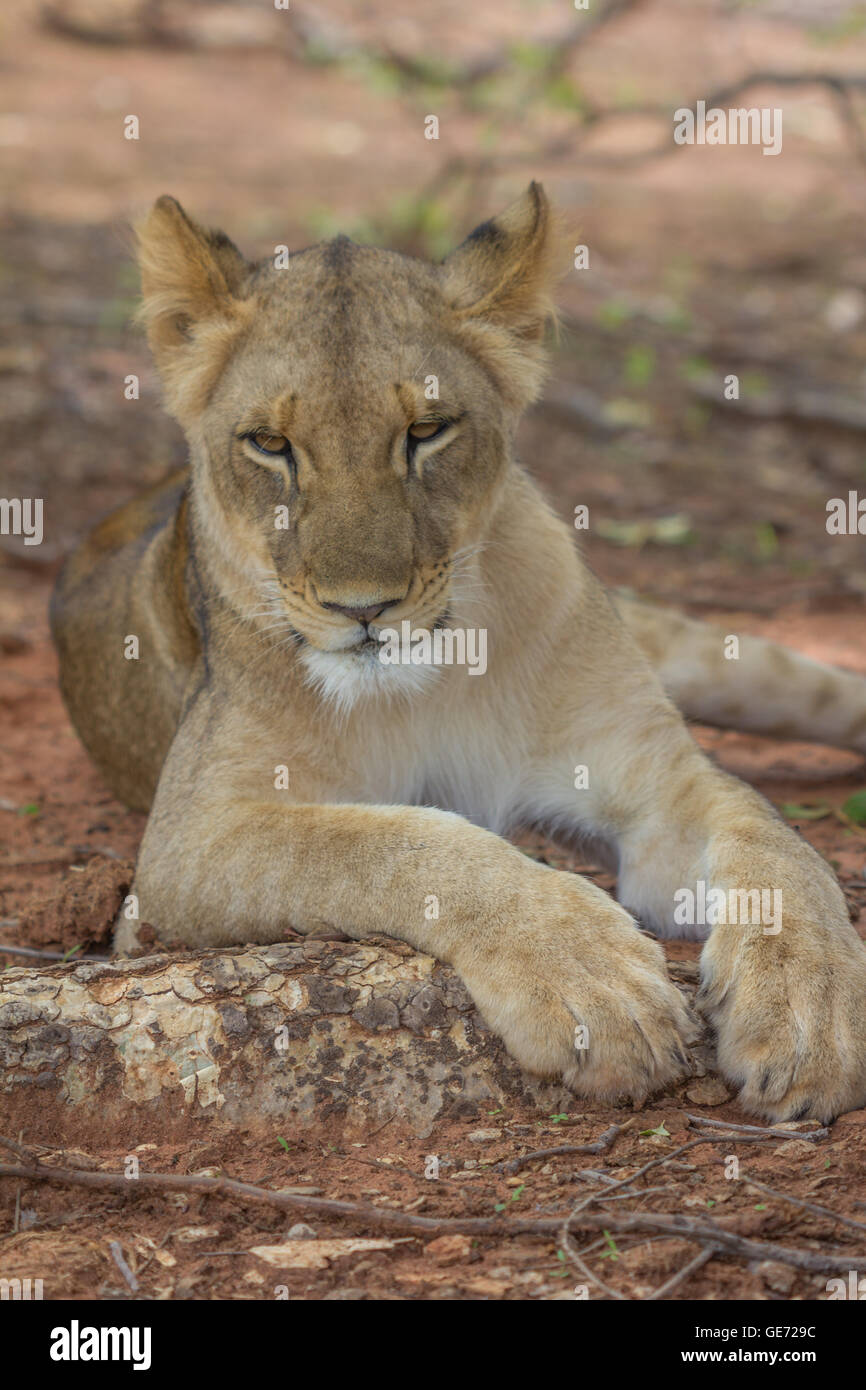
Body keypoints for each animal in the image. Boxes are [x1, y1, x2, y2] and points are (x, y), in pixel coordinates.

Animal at [51, 184, 866, 1122]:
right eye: (269, 444)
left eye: (427, 430)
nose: (362, 609)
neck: (434, 678)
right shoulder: (184, 847)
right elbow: (395, 840)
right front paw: (590, 983)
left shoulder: (654, 779)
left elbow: (778, 846)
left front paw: (811, 1010)